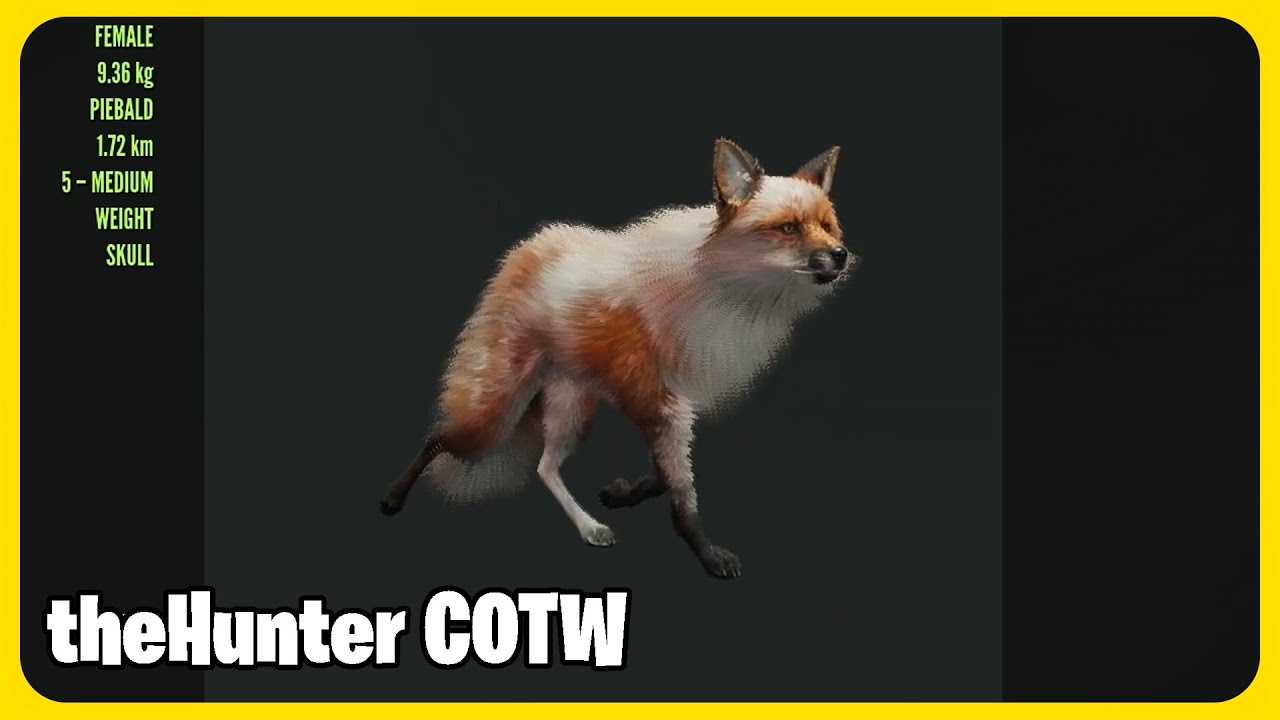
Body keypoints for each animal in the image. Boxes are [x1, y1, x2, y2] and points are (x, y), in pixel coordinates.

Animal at [380, 139, 859, 579]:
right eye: (788, 228)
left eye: (827, 226)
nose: (841, 255)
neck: (718, 289)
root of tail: (531, 245)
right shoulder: (659, 401)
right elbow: (683, 496)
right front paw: (708, 554)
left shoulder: (664, 402)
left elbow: (664, 475)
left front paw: (623, 494)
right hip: (495, 416)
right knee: (439, 438)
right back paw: (393, 498)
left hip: (574, 409)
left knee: (544, 466)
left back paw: (590, 527)